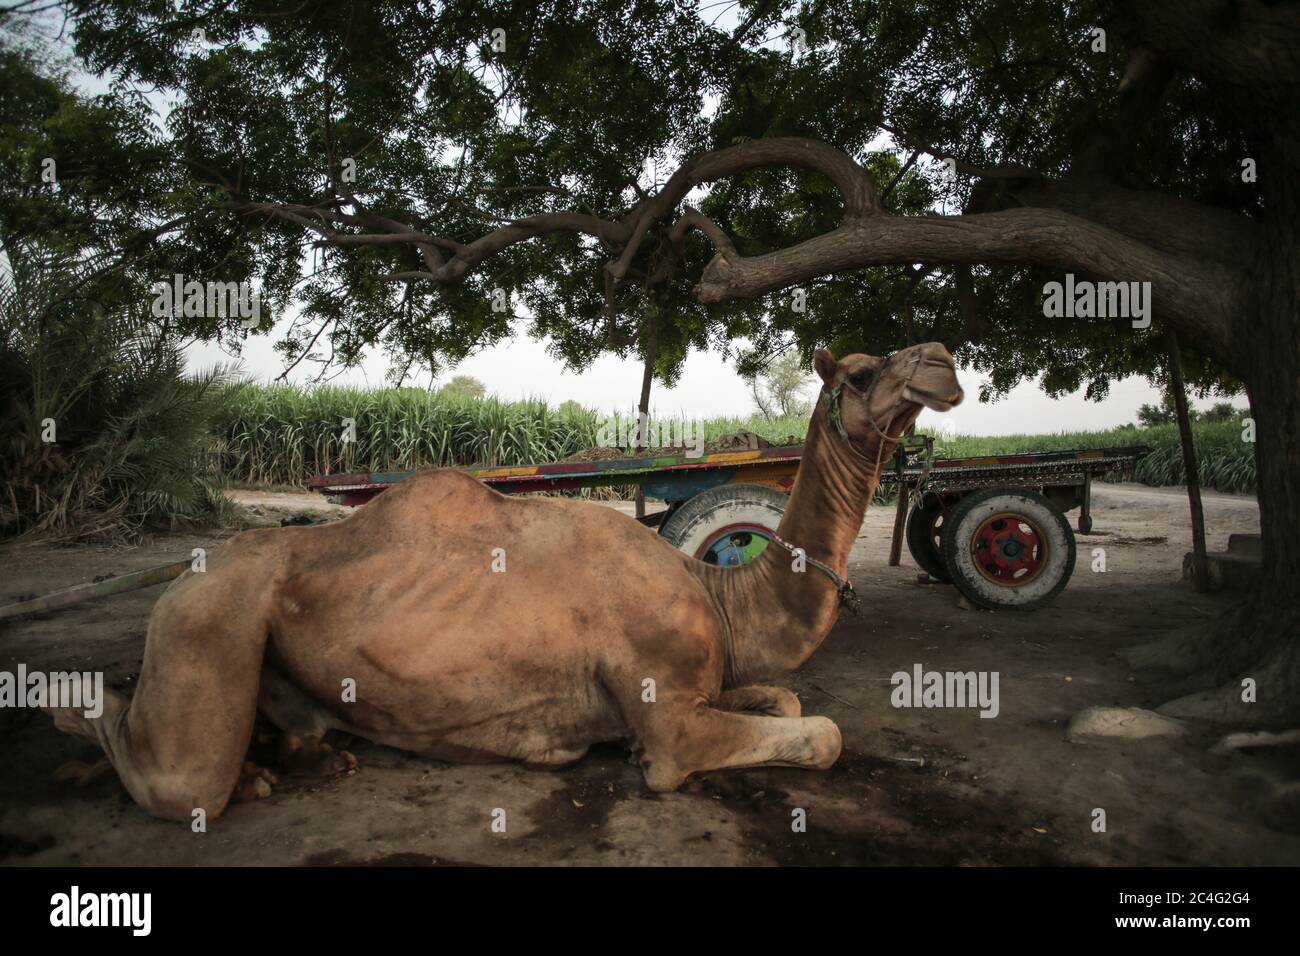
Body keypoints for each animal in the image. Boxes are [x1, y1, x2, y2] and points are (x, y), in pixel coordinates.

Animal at [47, 343, 963, 822]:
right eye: (859, 372)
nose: (943, 361)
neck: (720, 597)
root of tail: (181, 579)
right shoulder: (670, 719)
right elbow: (821, 732)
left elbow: (786, 696)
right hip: (207, 617)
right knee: (173, 771)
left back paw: (296, 760)